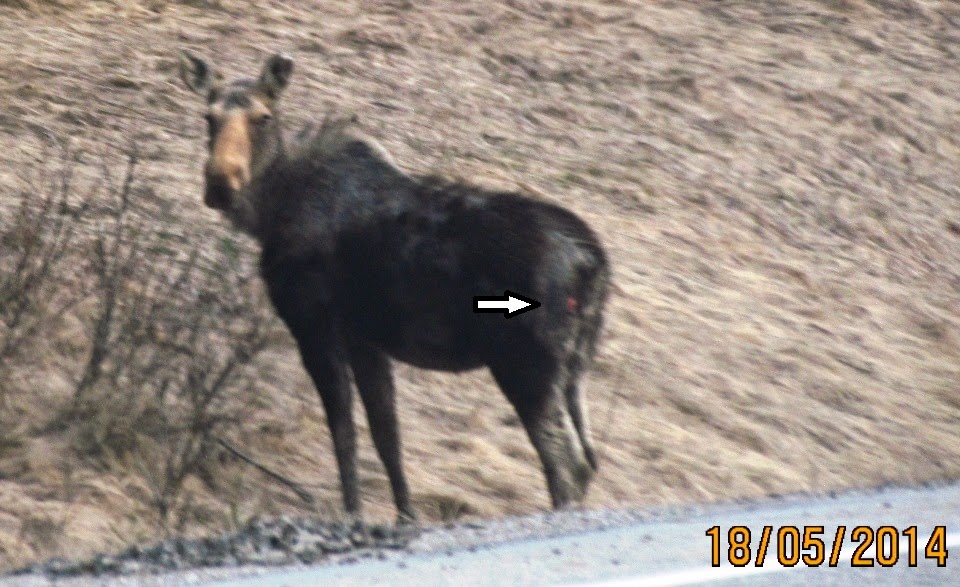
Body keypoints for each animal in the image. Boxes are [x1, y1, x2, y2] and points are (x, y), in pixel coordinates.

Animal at [178, 51, 610, 524]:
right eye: (208, 117)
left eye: (262, 117)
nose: (220, 183)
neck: (270, 211)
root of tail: (592, 261)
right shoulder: (365, 339)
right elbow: (387, 436)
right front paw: (405, 518)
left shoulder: (313, 324)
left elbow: (344, 434)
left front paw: (353, 515)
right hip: (574, 368)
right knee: (588, 458)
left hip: (526, 362)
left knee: (565, 461)